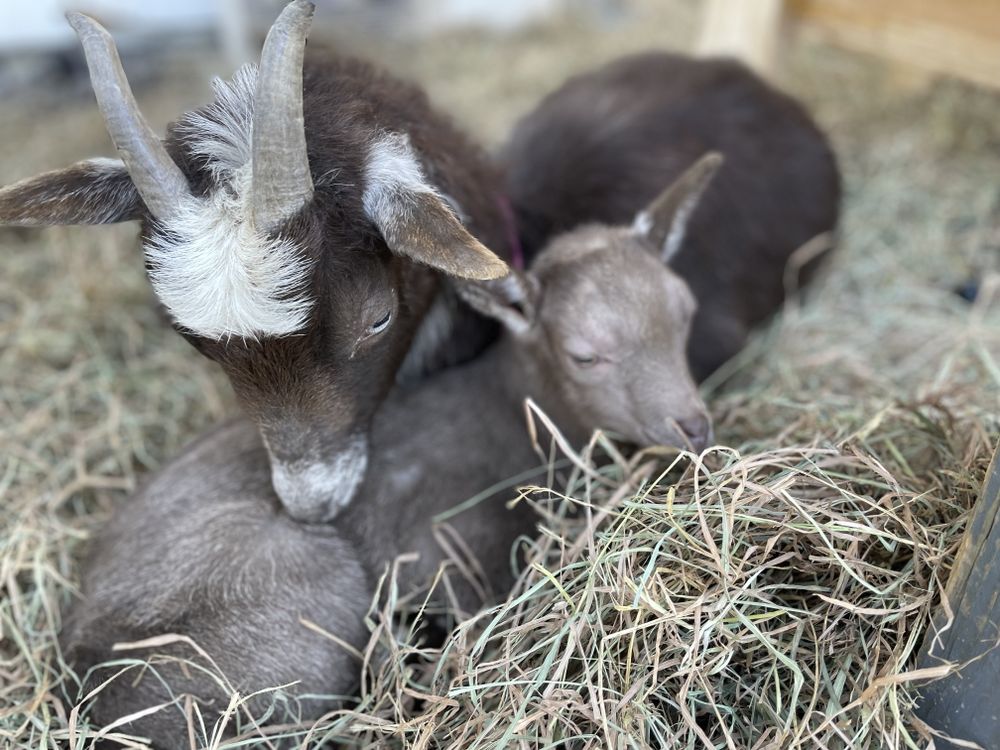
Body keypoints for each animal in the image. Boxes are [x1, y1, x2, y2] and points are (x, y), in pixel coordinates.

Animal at [61, 154, 721, 748]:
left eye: (687, 314)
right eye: (586, 356)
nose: (692, 425)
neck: (515, 406)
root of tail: (86, 688)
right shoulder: (441, 552)